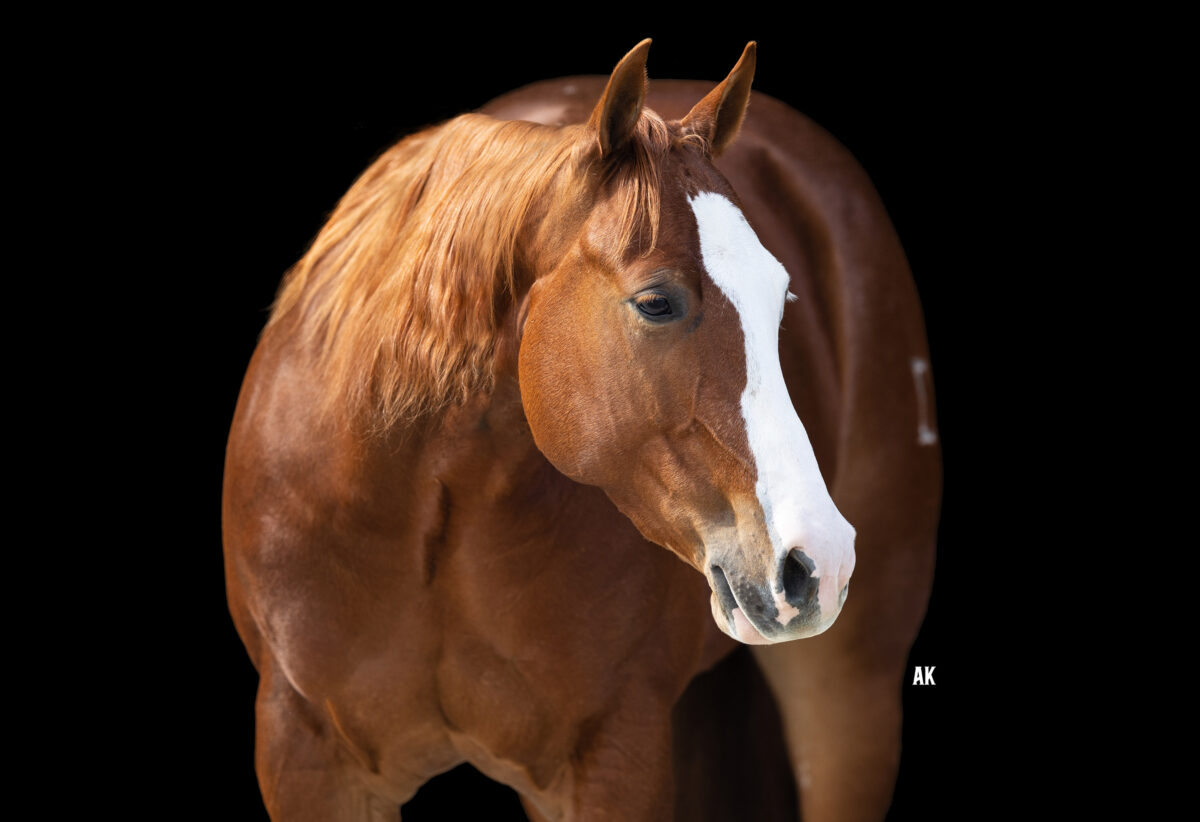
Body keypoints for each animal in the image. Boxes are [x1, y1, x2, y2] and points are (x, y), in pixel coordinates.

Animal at [222, 40, 941, 821]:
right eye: (656, 302)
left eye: (781, 298)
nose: (818, 560)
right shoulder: (307, 760)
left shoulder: (611, 760)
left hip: (849, 699)